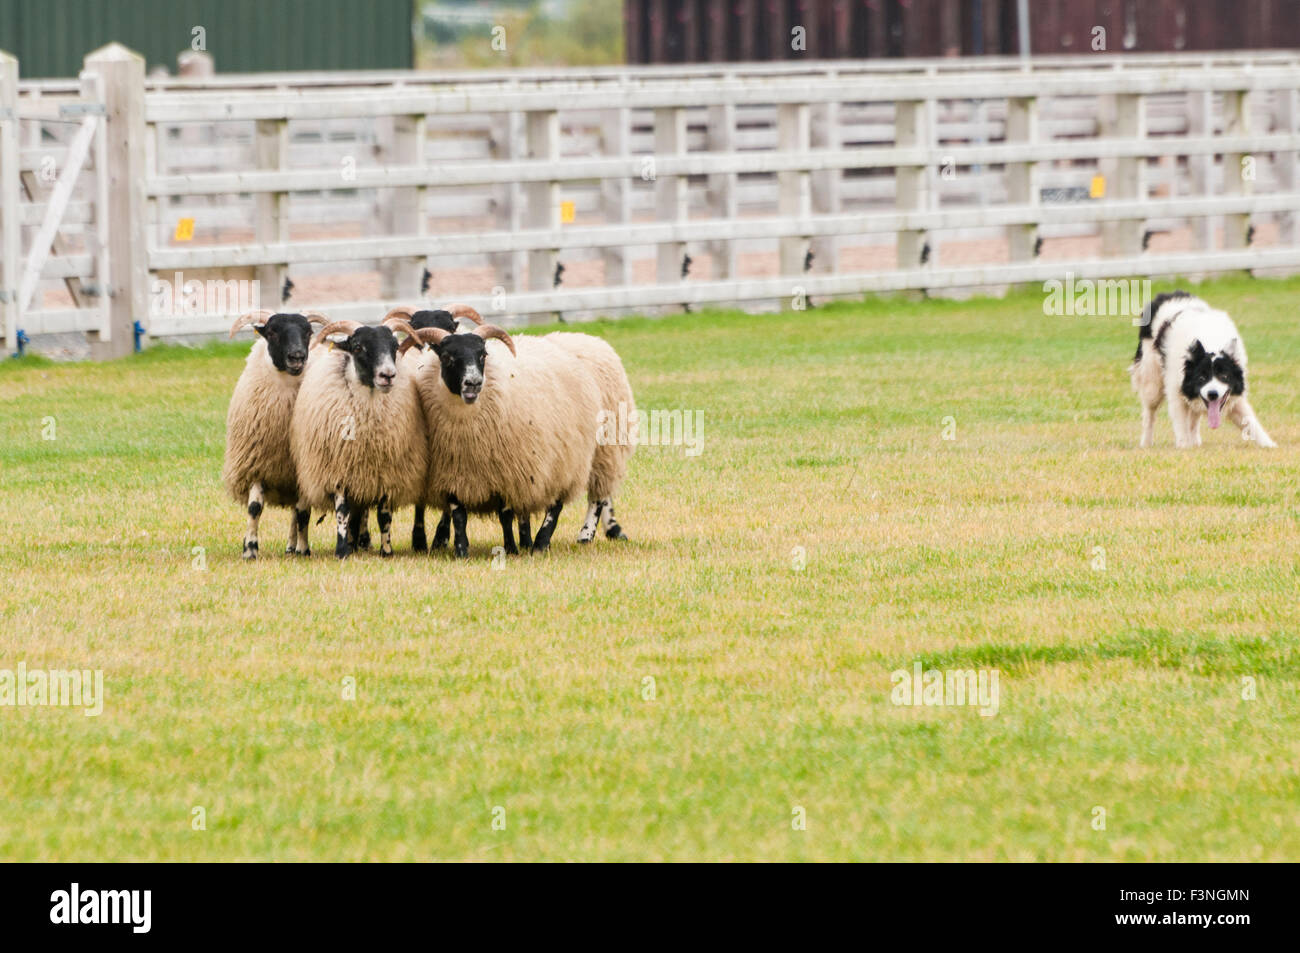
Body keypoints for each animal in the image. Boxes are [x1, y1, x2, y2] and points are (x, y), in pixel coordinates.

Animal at [221, 308, 328, 559]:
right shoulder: (257, 463)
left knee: (297, 512)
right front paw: (250, 549)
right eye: (272, 332)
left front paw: (303, 549)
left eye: (308, 332)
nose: (297, 356)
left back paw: (294, 547)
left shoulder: (303, 471)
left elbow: (303, 514)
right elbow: (254, 508)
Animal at [290, 318, 428, 559]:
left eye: (394, 346)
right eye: (357, 347)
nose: (388, 375)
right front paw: (341, 551)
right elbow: (342, 512)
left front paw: (386, 551)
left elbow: (384, 516)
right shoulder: (338, 470)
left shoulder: (387, 472)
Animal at [402, 321, 601, 557]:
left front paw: (511, 549)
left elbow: (505, 516)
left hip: (566, 461)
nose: (473, 383)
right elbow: (459, 515)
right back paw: (529, 542)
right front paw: (461, 551)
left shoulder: (506, 472)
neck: (466, 432)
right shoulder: (451, 472)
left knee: (556, 505)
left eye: (483, 355)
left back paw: (540, 544)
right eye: (446, 356)